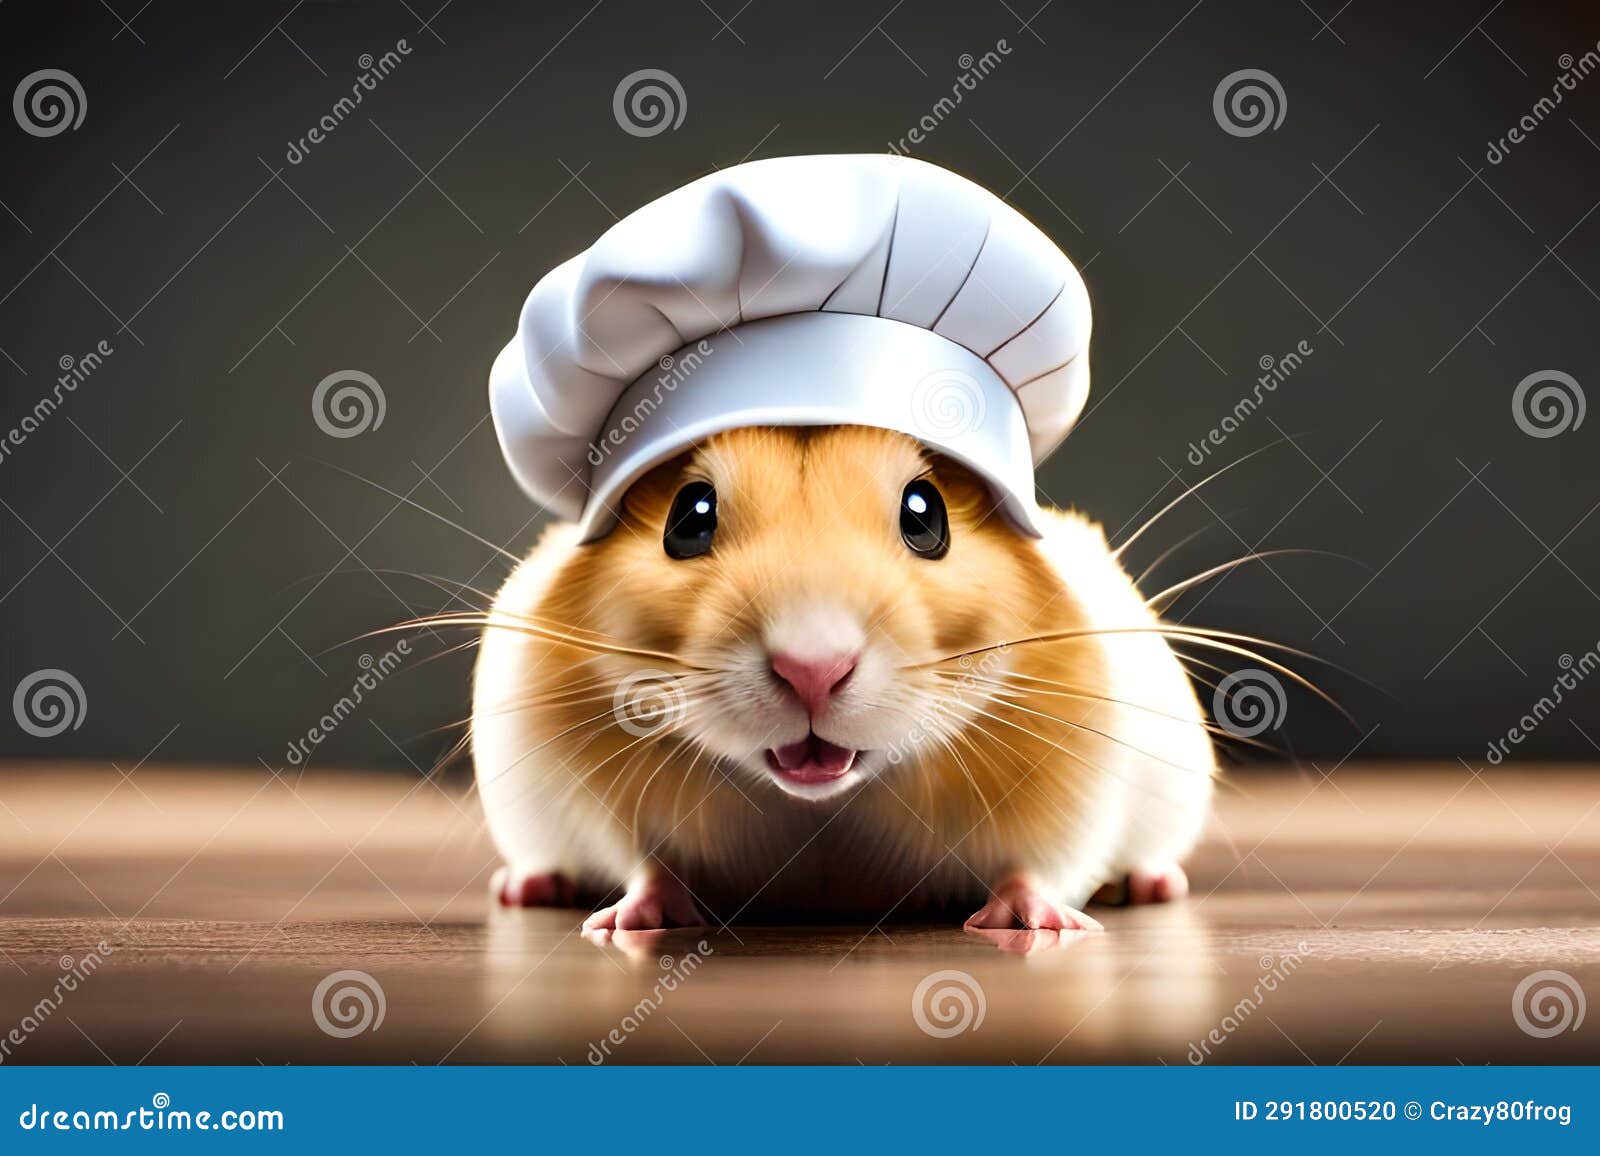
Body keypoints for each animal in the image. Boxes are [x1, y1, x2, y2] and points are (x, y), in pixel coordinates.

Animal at [470, 424, 1216, 932]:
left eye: (925, 514)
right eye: (689, 516)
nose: (812, 670)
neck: (821, 807)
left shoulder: (1082, 783)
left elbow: (1045, 862)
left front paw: (1041, 921)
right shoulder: (596, 798)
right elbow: (646, 861)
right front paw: (625, 919)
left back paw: (1155, 882)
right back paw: (529, 885)